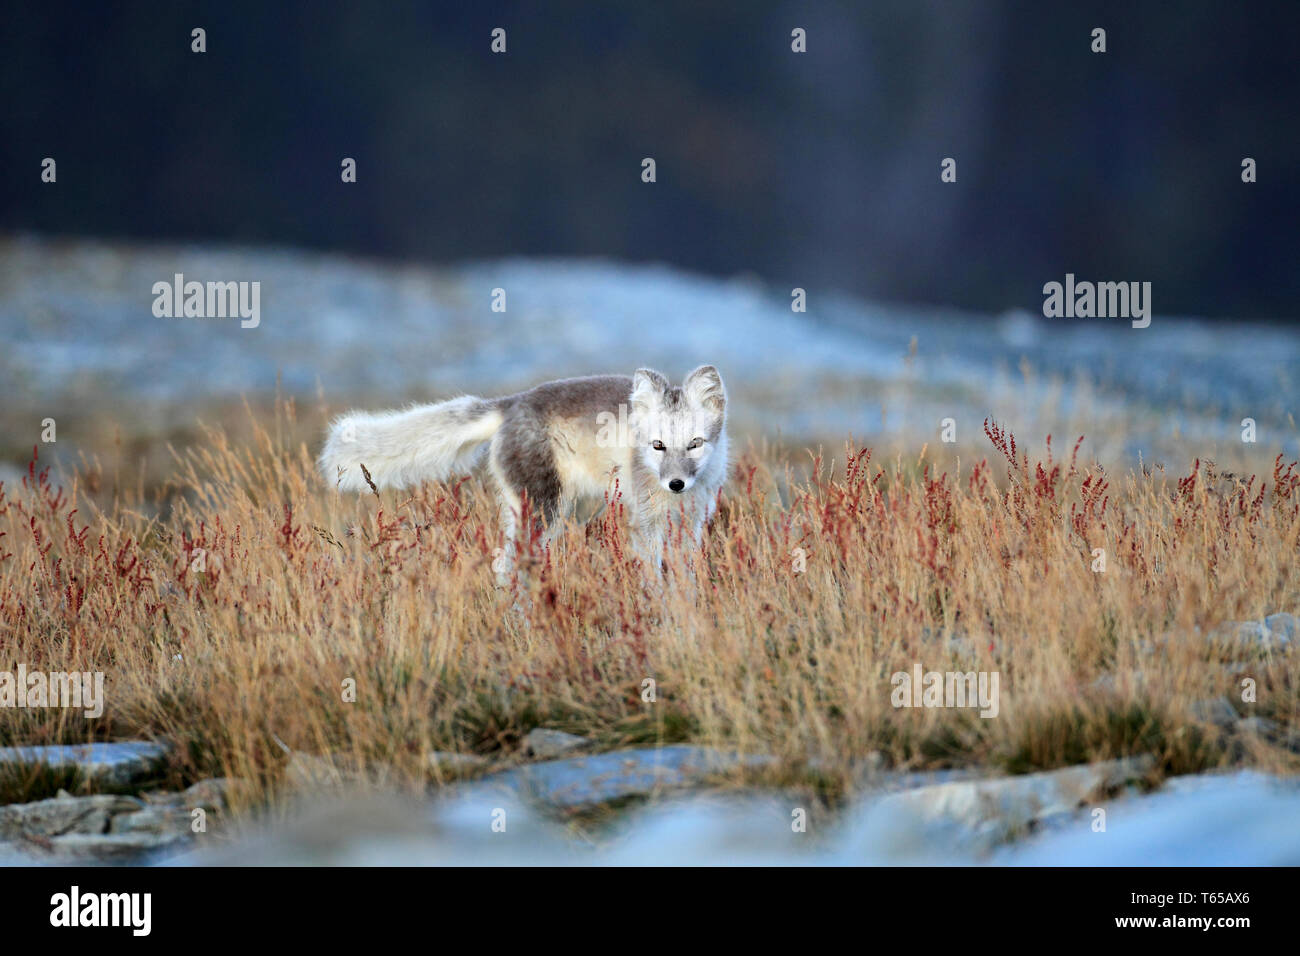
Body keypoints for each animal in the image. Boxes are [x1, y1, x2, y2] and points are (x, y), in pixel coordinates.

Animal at [318, 366, 729, 571]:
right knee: (508, 565)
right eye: (657, 445)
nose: (676, 484)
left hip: (543, 508)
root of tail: (511, 402)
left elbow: (685, 576)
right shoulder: (646, 525)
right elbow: (654, 576)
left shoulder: (690, 524)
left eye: (695, 443)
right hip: (545, 509)